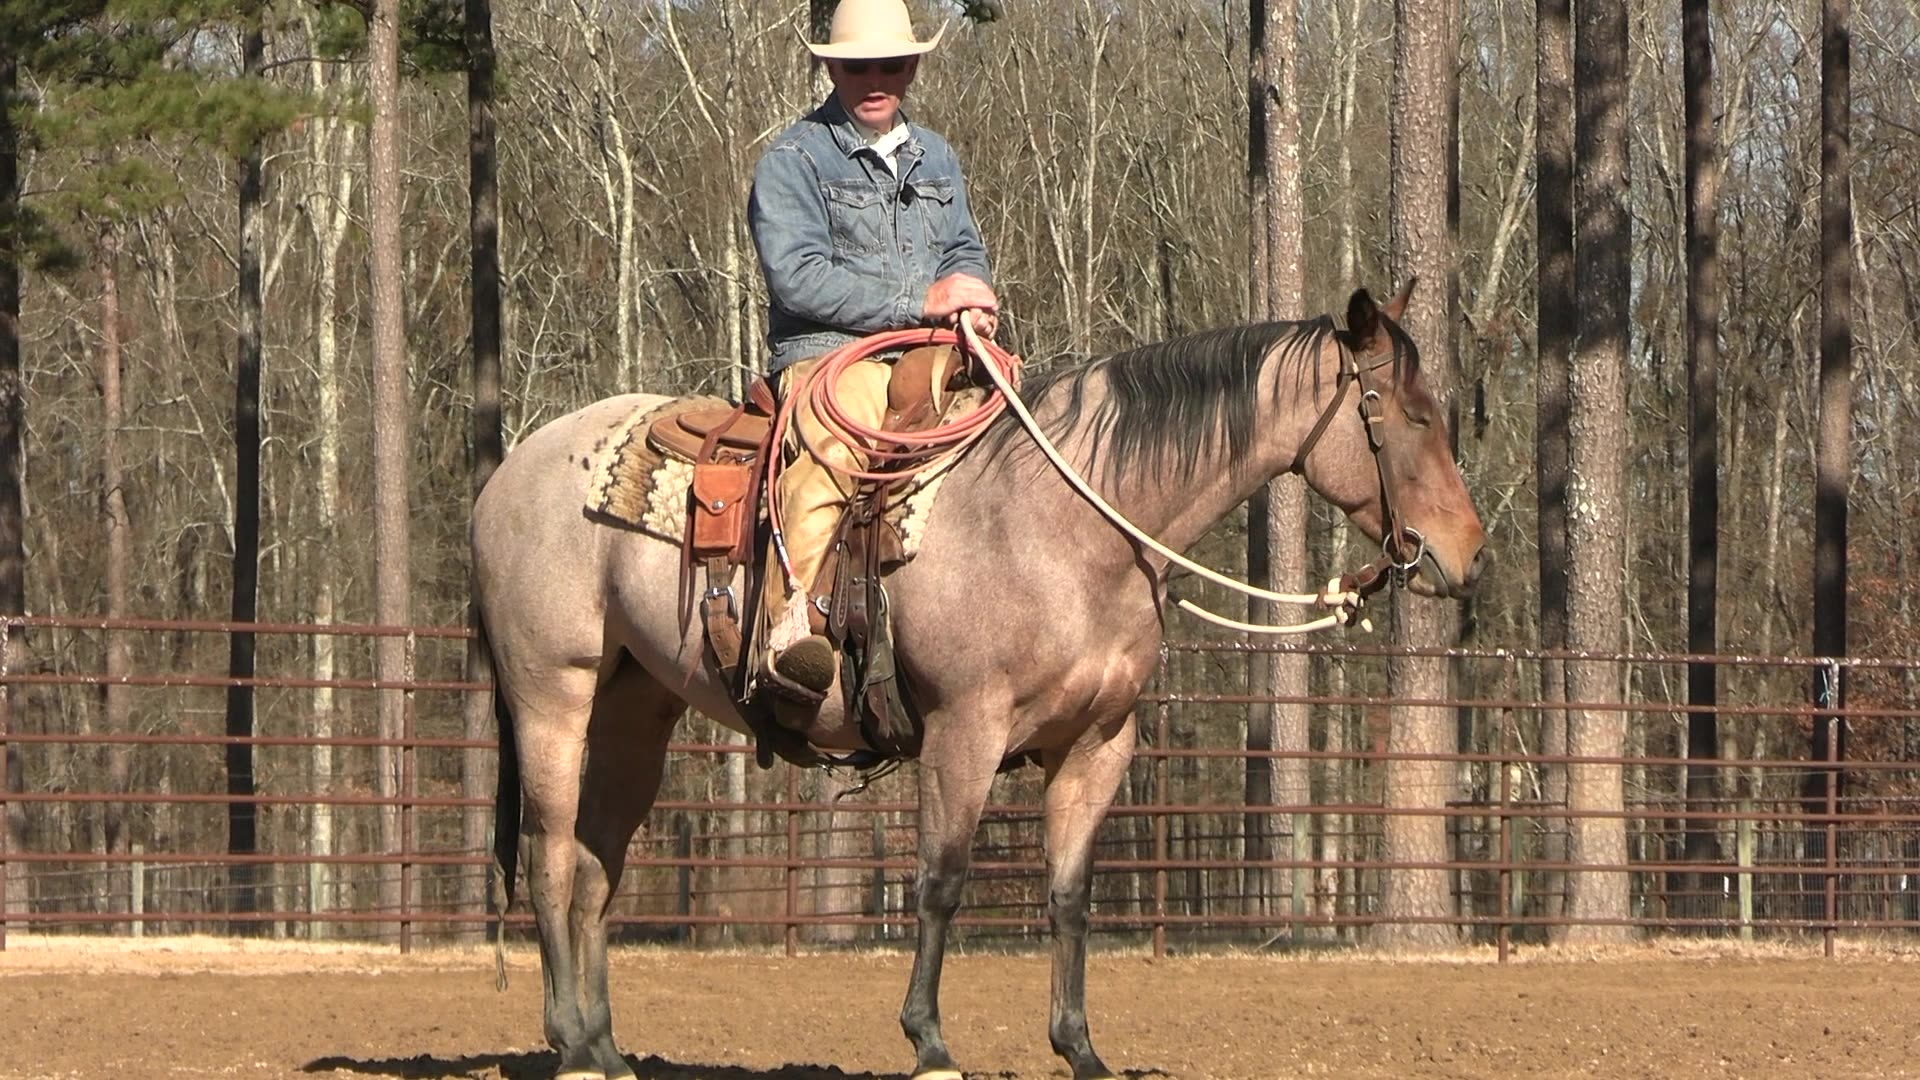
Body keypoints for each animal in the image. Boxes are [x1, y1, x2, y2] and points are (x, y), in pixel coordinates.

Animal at [472, 283, 1487, 1080]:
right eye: (1409, 414)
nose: (1468, 555)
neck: (1064, 524)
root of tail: (506, 474)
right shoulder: (965, 728)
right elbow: (943, 878)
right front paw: (930, 1043)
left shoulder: (1097, 744)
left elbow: (1069, 893)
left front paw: (1080, 1049)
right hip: (552, 695)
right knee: (551, 854)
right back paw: (571, 1046)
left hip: (634, 712)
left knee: (596, 866)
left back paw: (607, 1050)